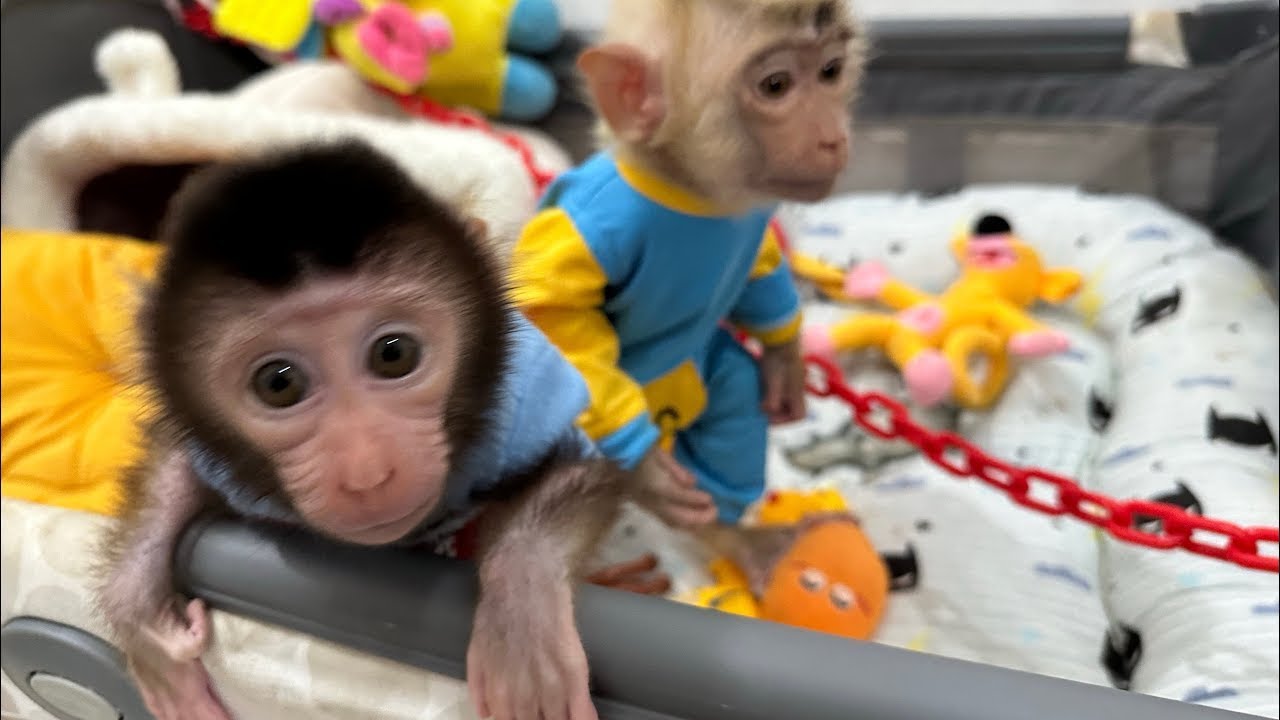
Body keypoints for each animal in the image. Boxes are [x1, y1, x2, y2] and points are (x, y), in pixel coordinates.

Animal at [93, 140, 658, 720]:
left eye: (394, 355)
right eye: (279, 384)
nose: (366, 473)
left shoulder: (521, 404)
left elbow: (578, 469)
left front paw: (522, 619)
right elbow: (176, 468)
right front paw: (142, 613)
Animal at [508, 0, 863, 532]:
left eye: (830, 71)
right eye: (776, 85)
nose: (832, 139)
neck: (689, 193)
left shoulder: (750, 214)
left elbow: (759, 267)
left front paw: (784, 356)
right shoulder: (602, 219)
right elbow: (558, 312)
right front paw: (647, 470)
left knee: (735, 393)